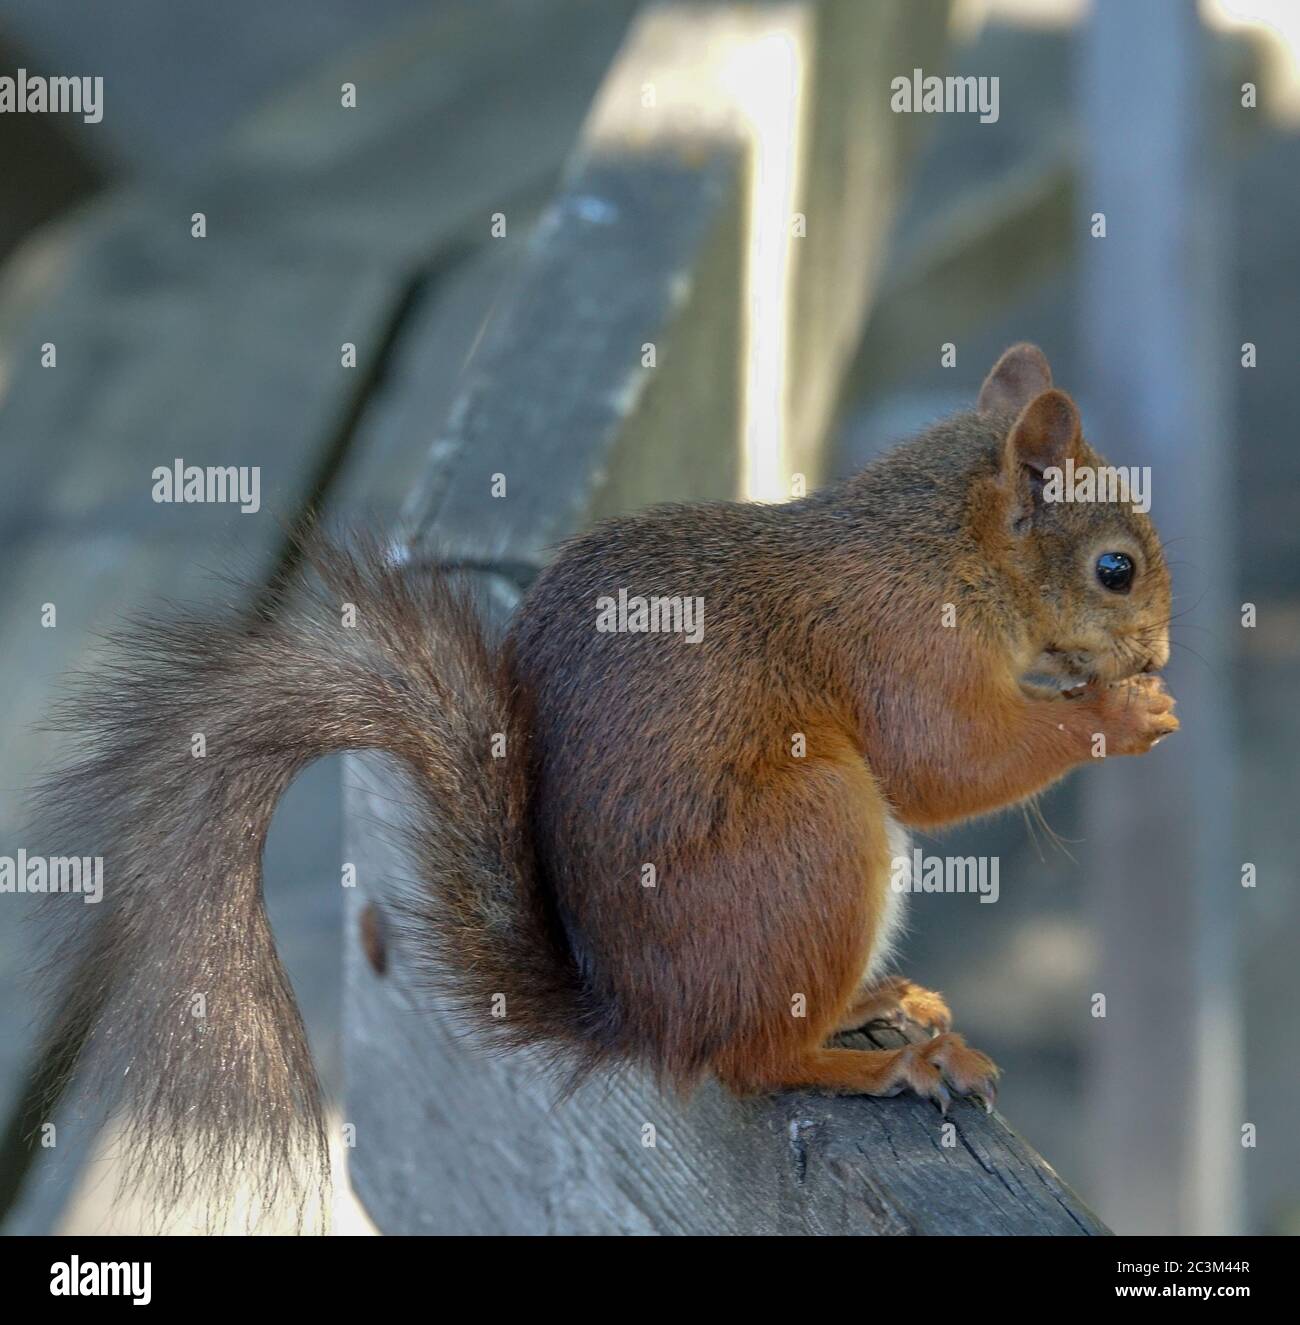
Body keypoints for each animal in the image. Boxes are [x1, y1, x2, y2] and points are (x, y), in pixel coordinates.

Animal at [29, 343, 1177, 1215]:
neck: (944, 547)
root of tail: (640, 1017)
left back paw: (878, 996)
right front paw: (1117, 716)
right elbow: (946, 764)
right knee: (749, 1061)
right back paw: (883, 1060)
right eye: (1114, 568)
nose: (1160, 652)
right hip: (815, 825)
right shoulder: (903, 645)